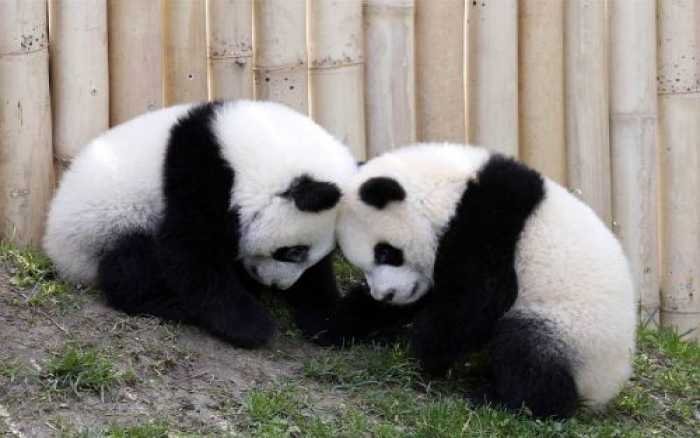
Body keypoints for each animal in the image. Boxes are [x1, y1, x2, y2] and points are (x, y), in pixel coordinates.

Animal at [43, 100, 357, 348]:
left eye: (306, 254)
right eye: (293, 251)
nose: (279, 285)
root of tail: (57, 251)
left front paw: (331, 319)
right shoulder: (199, 172)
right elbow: (191, 251)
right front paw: (251, 325)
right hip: (107, 225)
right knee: (131, 262)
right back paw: (168, 303)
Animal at [315, 143, 636, 418]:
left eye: (385, 252)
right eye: (363, 266)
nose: (386, 295)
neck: (446, 192)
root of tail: (605, 387)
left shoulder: (488, 220)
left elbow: (480, 297)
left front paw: (425, 353)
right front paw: (340, 323)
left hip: (575, 331)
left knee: (527, 348)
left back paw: (507, 401)